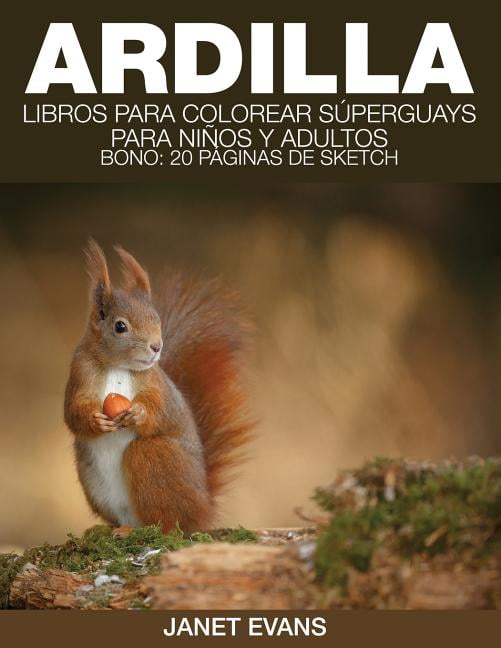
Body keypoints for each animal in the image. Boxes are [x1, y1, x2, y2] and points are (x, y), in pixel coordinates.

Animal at [64, 240, 253, 535]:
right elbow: (73, 411)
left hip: (154, 457)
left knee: (166, 521)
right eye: (120, 326)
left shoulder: (156, 384)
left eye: (157, 319)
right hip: (93, 480)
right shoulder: (80, 373)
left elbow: (160, 409)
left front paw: (139, 414)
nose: (156, 347)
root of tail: (203, 510)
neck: (118, 366)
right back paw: (118, 529)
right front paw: (96, 421)